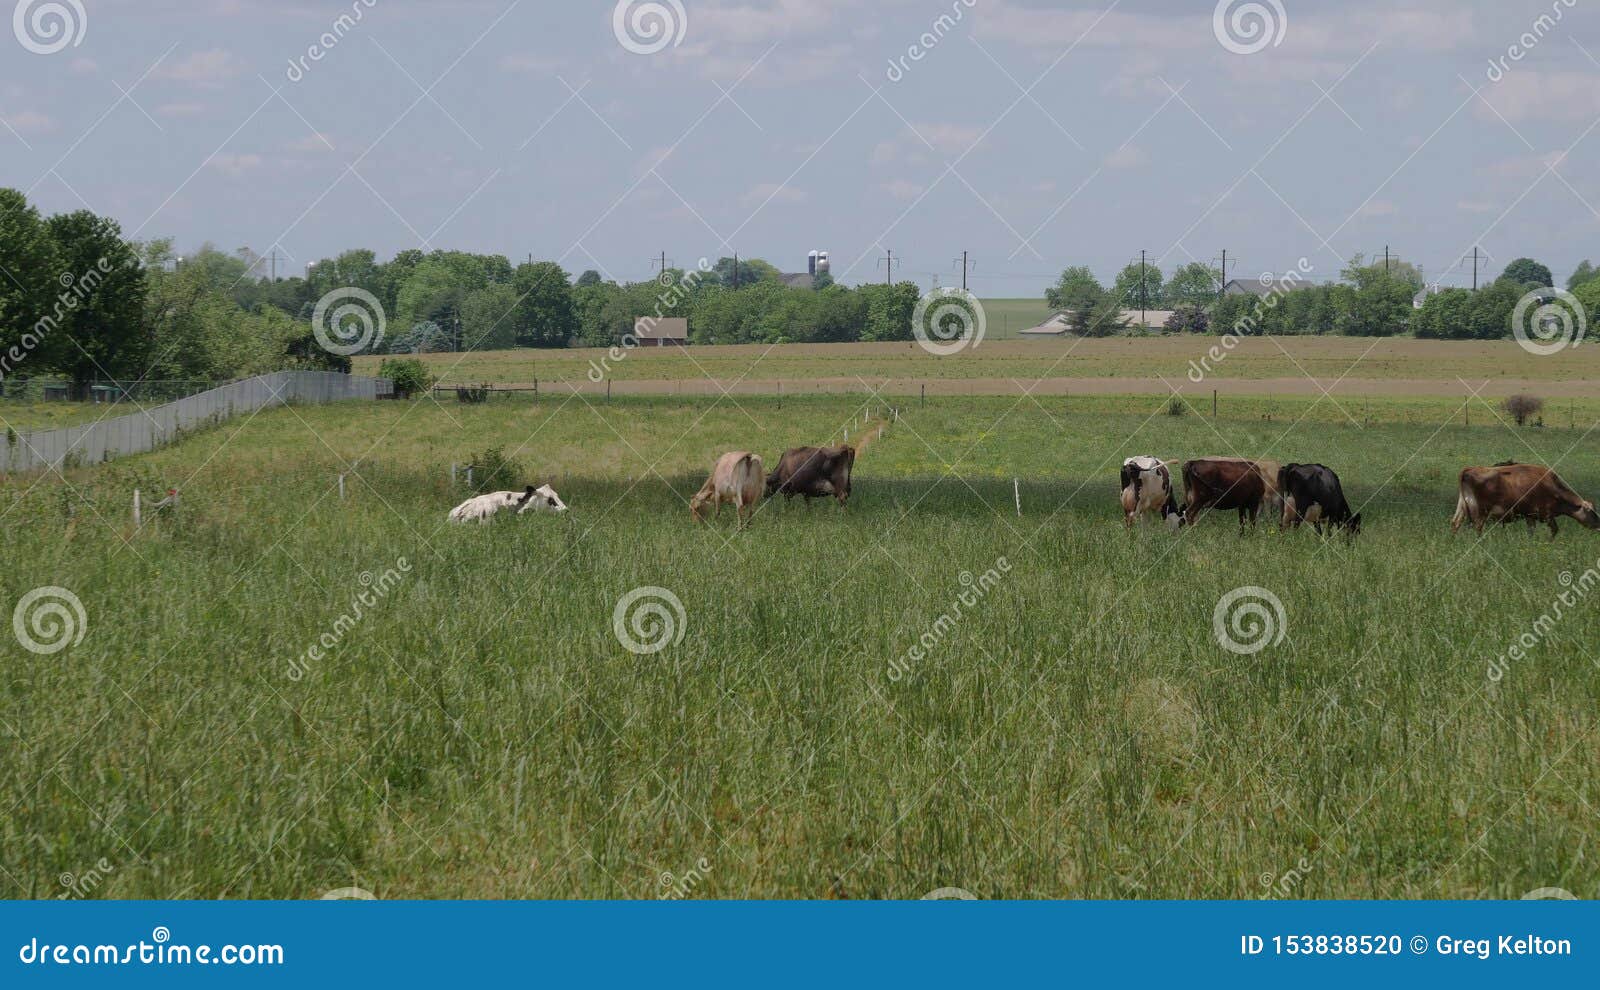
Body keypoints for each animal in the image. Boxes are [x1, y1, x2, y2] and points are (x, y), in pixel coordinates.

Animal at [1451, 462, 1600, 537]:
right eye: (1593, 512)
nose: (1599, 525)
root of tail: (1470, 469)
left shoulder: (1530, 516)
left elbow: (1531, 532)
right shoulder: (1546, 515)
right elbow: (1554, 530)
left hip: (1462, 507)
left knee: (1455, 523)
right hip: (1481, 512)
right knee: (1478, 527)